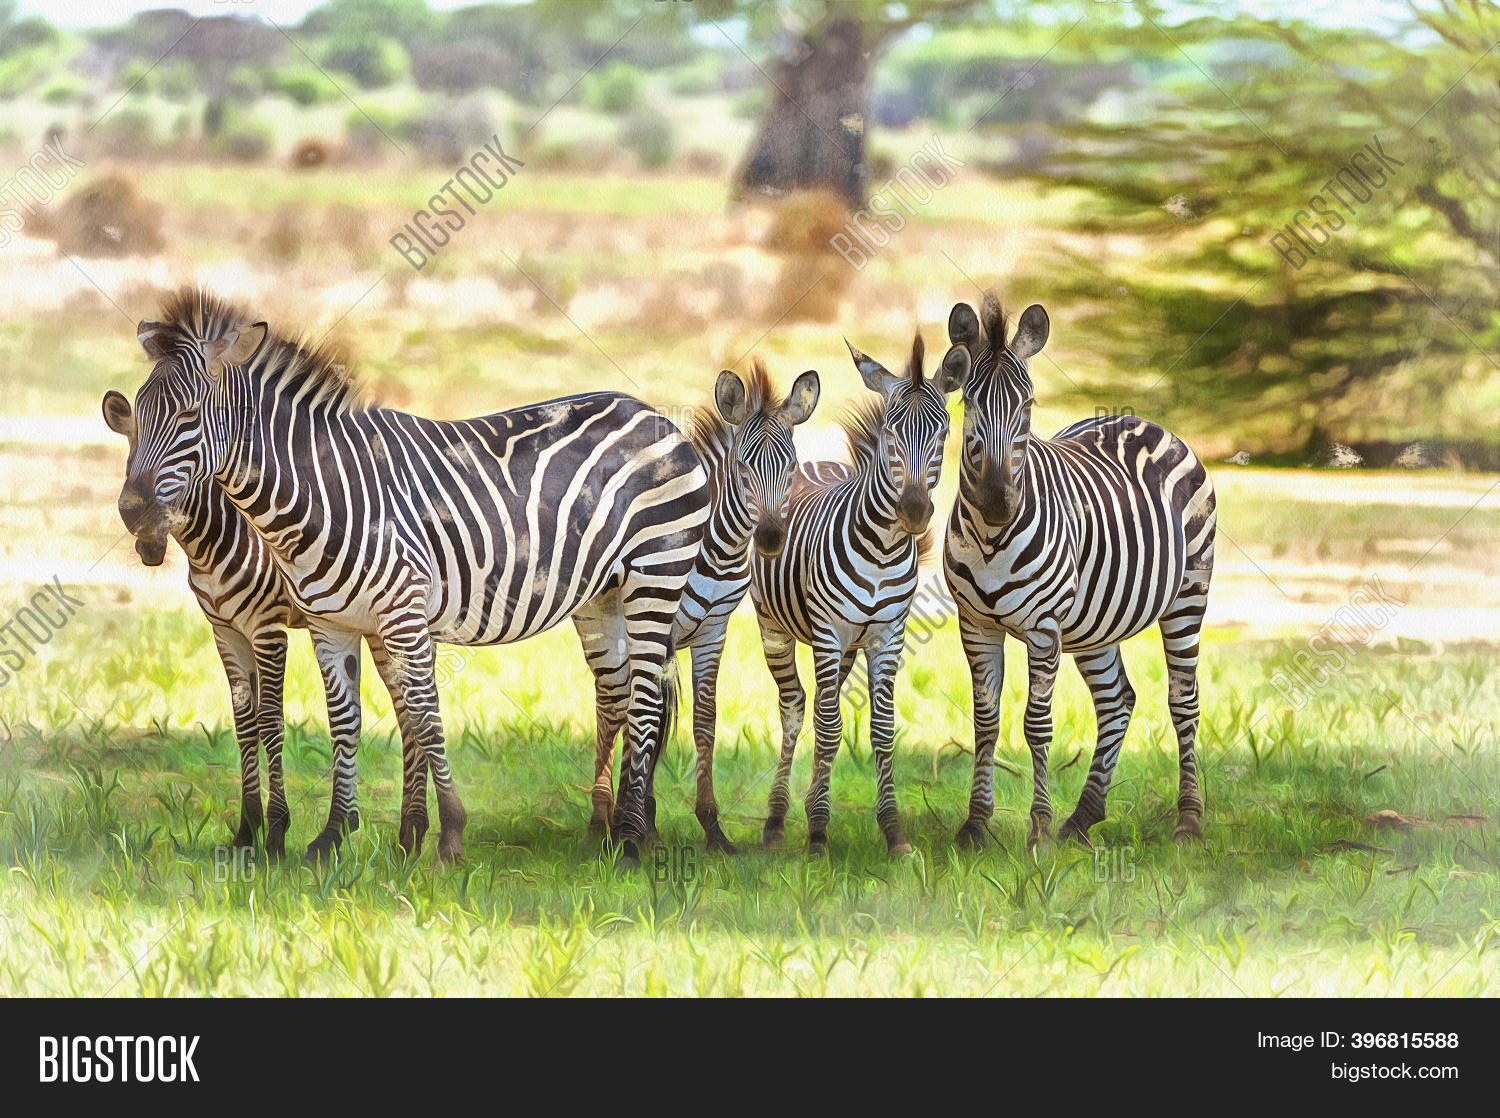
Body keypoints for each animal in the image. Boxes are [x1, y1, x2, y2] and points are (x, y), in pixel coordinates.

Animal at [104, 389, 366, 860]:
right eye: (128, 459)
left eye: (176, 465)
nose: (147, 544)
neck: (212, 541)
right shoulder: (226, 632)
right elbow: (244, 725)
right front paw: (248, 830)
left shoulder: (267, 629)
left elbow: (271, 723)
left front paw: (277, 833)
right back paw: (349, 822)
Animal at [583, 360, 820, 853]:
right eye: (743, 465)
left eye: (790, 466)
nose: (771, 538)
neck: (718, 550)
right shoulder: (663, 626)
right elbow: (650, 716)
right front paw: (644, 824)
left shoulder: (714, 629)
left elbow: (704, 721)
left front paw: (711, 827)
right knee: (609, 702)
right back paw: (601, 818)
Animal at [750, 331, 966, 855]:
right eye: (890, 432)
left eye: (943, 432)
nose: (914, 511)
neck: (882, 550)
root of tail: (818, 460)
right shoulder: (829, 631)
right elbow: (829, 728)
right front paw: (818, 835)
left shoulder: (886, 634)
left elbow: (882, 729)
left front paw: (893, 832)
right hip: (777, 629)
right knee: (796, 710)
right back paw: (776, 821)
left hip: (847, 645)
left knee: (817, 709)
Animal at [939, 295, 1217, 847]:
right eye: (969, 405)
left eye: (1028, 407)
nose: (998, 502)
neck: (989, 539)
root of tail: (1141, 422)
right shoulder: (975, 625)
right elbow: (985, 722)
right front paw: (976, 825)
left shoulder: (1044, 629)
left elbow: (1036, 725)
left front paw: (1040, 829)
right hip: (1094, 622)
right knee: (1118, 700)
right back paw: (1084, 816)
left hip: (1188, 597)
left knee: (1183, 702)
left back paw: (1188, 821)